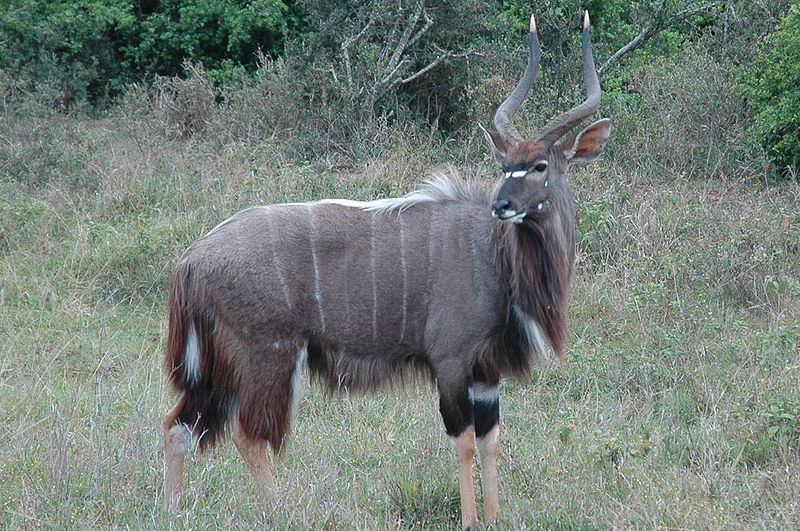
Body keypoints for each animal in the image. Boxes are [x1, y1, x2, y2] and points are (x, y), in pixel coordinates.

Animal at [164, 10, 612, 528]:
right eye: (505, 165)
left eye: (539, 165)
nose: (502, 205)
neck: (494, 255)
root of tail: (192, 260)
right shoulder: (450, 361)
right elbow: (463, 442)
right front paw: (470, 519)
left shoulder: (486, 370)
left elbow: (491, 439)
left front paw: (495, 516)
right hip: (266, 355)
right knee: (246, 434)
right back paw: (282, 511)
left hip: (219, 365)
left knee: (179, 426)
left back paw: (172, 511)